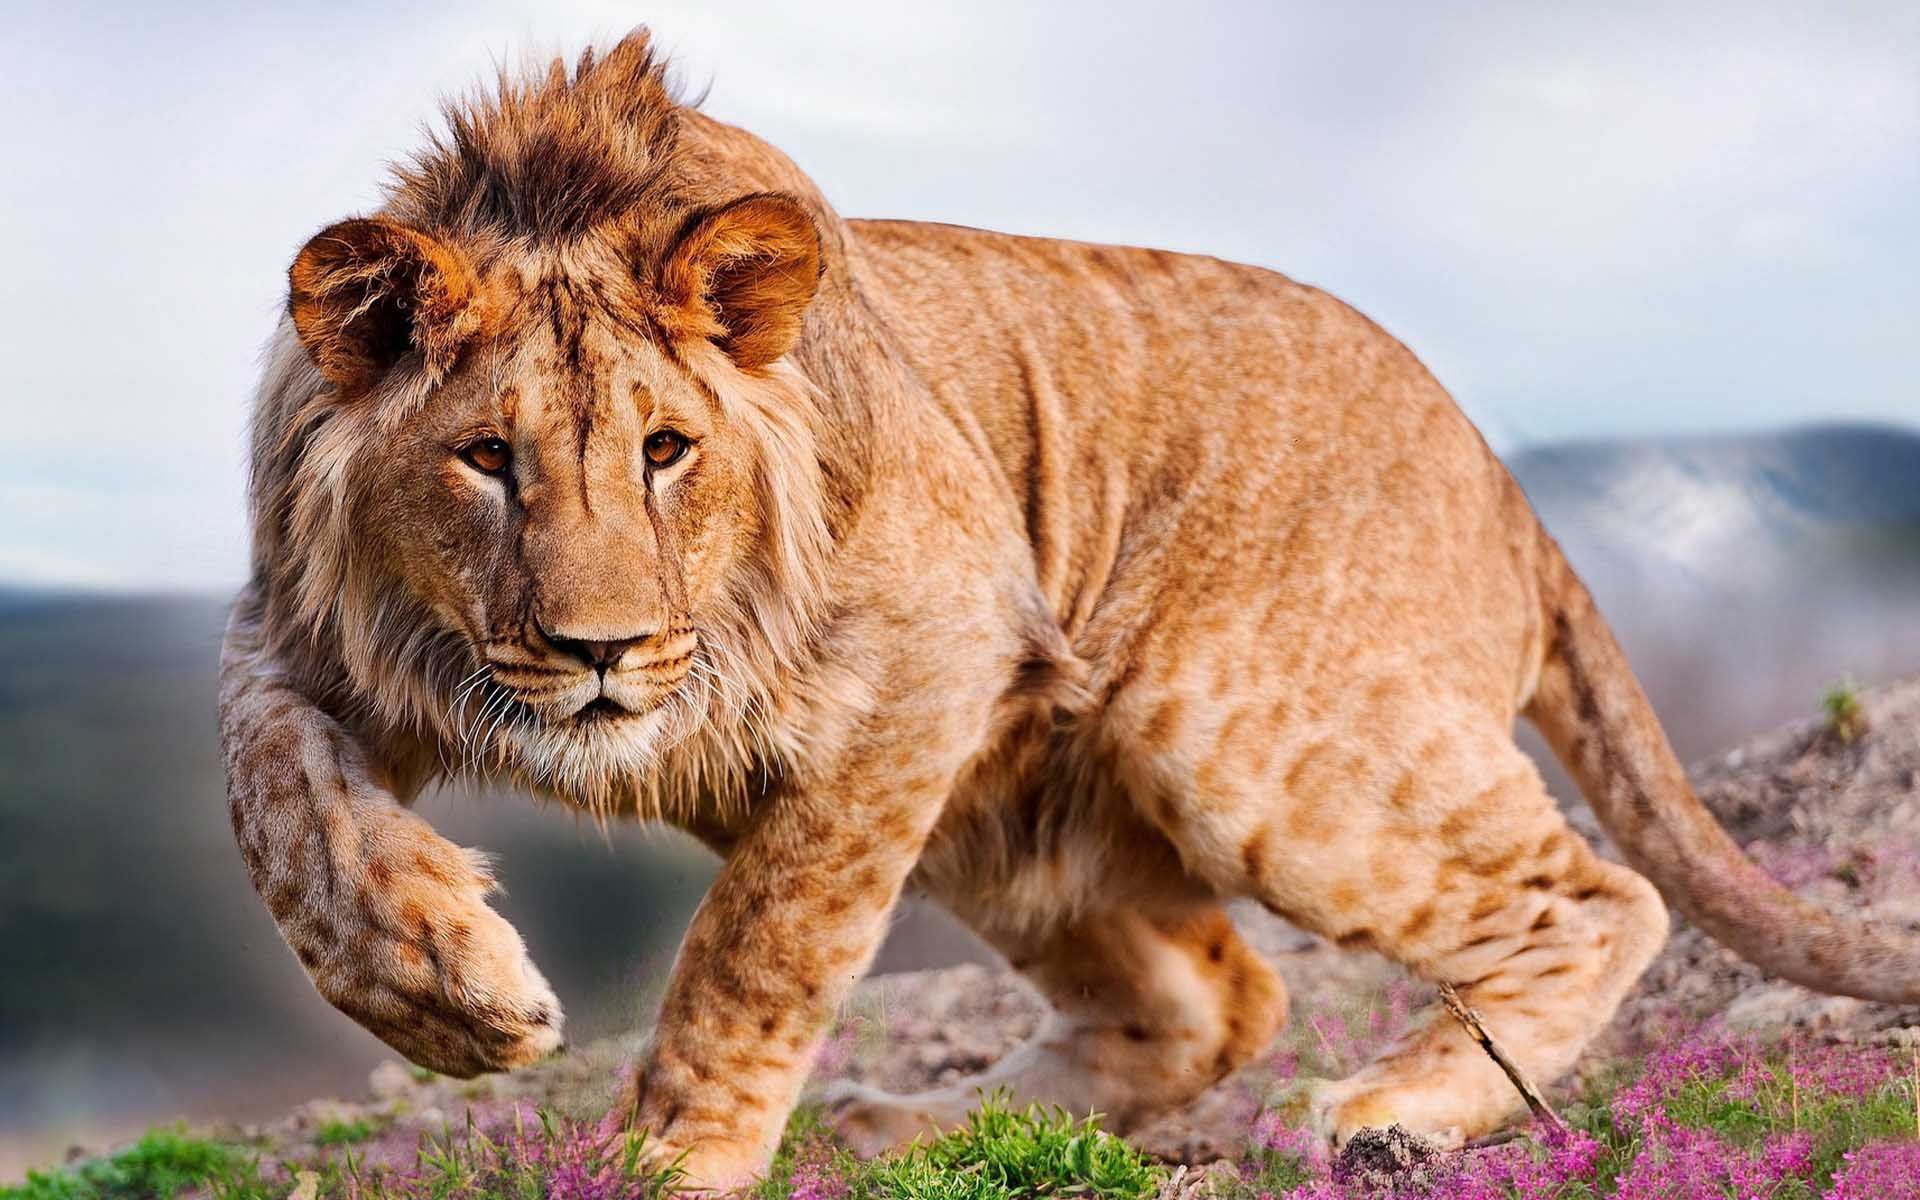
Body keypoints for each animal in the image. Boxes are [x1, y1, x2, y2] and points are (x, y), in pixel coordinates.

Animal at [220, 32, 1920, 1187]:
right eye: (484, 458)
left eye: (664, 450)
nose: (599, 653)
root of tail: (1502, 479)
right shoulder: (303, 634)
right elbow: (283, 815)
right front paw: (452, 997)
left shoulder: (926, 657)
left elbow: (756, 951)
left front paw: (669, 1159)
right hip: (1012, 811)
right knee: (1212, 1000)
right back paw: (906, 1126)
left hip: (1233, 735)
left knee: (1593, 900)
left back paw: (1391, 1112)